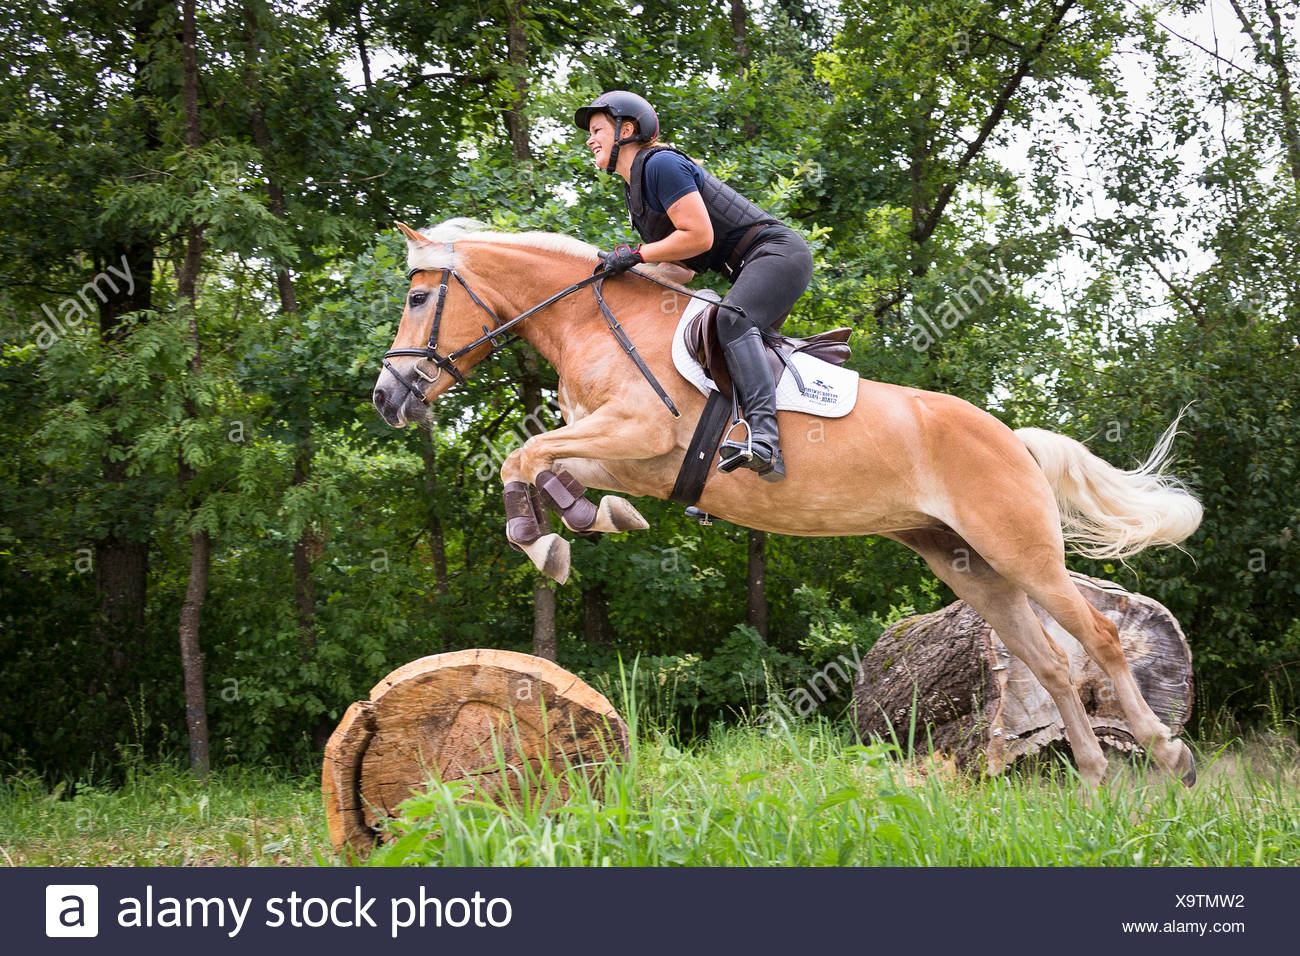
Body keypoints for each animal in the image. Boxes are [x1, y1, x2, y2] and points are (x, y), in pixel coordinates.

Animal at [373, 218, 1203, 790]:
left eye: (417, 297)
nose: (386, 398)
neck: (593, 322)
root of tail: (1011, 438)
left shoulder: (639, 431)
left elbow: (525, 453)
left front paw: (547, 531)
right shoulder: (632, 456)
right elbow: (541, 463)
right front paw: (571, 525)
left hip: (1021, 549)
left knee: (1099, 637)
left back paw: (1169, 755)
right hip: (970, 564)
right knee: (1051, 665)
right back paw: (1092, 775)